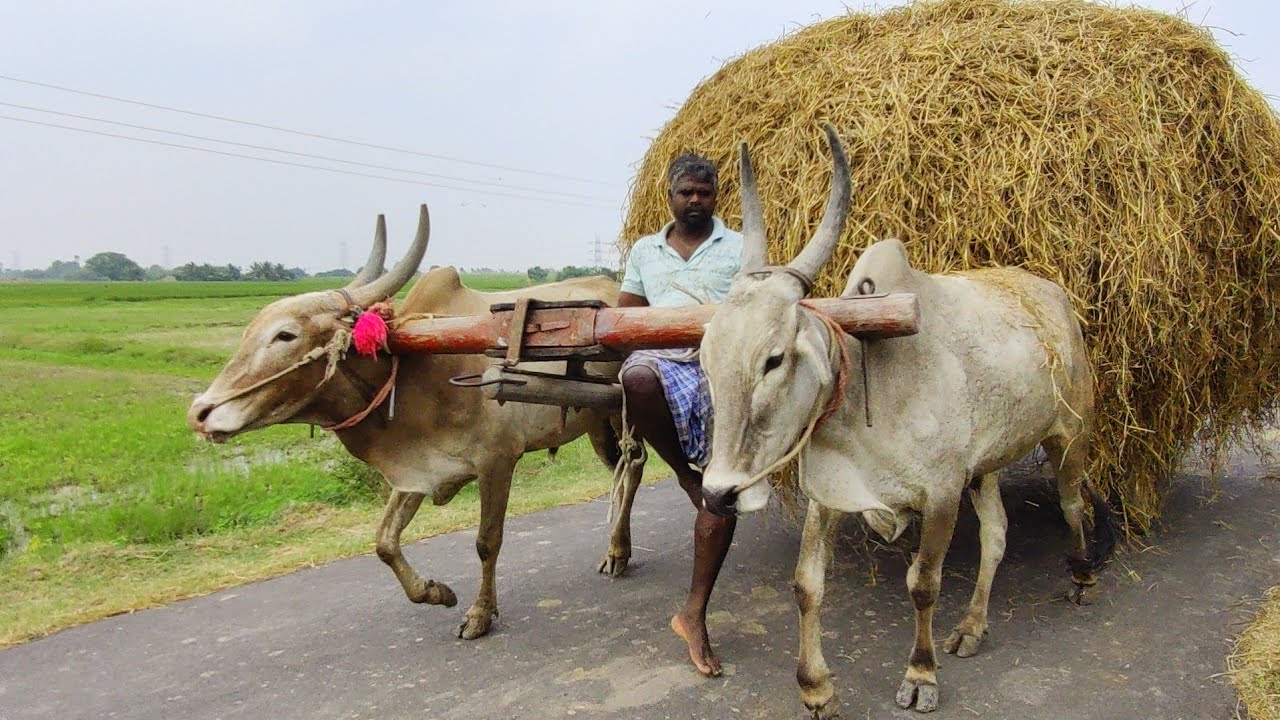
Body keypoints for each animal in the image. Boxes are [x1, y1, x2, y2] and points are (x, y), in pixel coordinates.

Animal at [188, 204, 646, 640]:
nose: (200, 412)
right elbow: (385, 542)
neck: (415, 367)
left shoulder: (497, 461)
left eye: (285, 335)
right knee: (624, 472)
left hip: (616, 415)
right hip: (596, 423)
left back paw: (618, 552)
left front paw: (480, 614)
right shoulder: (418, 470)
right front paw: (435, 591)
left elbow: (487, 541)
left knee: (632, 471)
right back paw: (617, 550)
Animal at [697, 126, 1116, 715]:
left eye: (773, 359)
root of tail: (1054, 296)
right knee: (997, 534)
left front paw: (921, 675)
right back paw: (972, 626)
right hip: (984, 468)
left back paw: (1081, 577)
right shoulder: (830, 496)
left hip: (1070, 437)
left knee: (1072, 504)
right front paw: (816, 686)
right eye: (706, 358)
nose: (719, 493)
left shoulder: (940, 494)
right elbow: (807, 584)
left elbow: (923, 583)